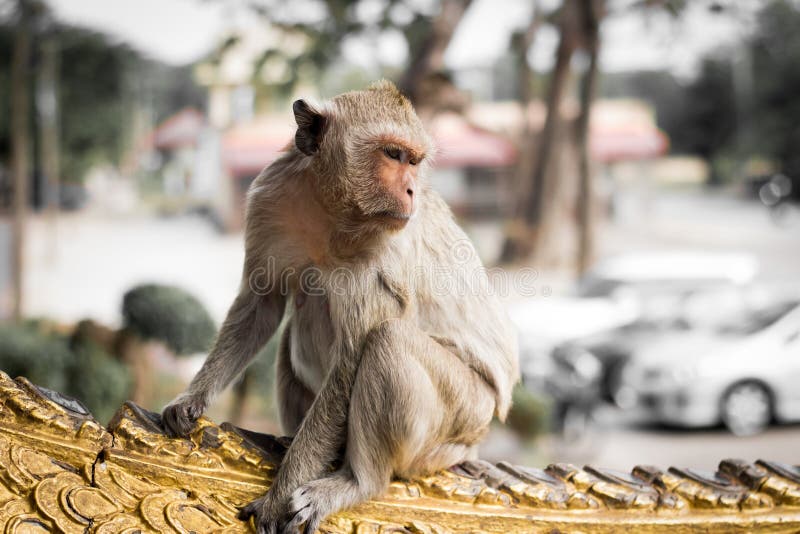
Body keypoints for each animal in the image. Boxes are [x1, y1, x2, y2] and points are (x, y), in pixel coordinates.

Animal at [161, 80, 519, 534]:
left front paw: (279, 497)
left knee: (388, 340)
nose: (411, 191)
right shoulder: (268, 198)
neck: (331, 213)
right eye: (393, 154)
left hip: (463, 414)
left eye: (414, 161)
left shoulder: (381, 255)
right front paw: (191, 399)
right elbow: (261, 305)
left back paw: (357, 481)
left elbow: (350, 363)